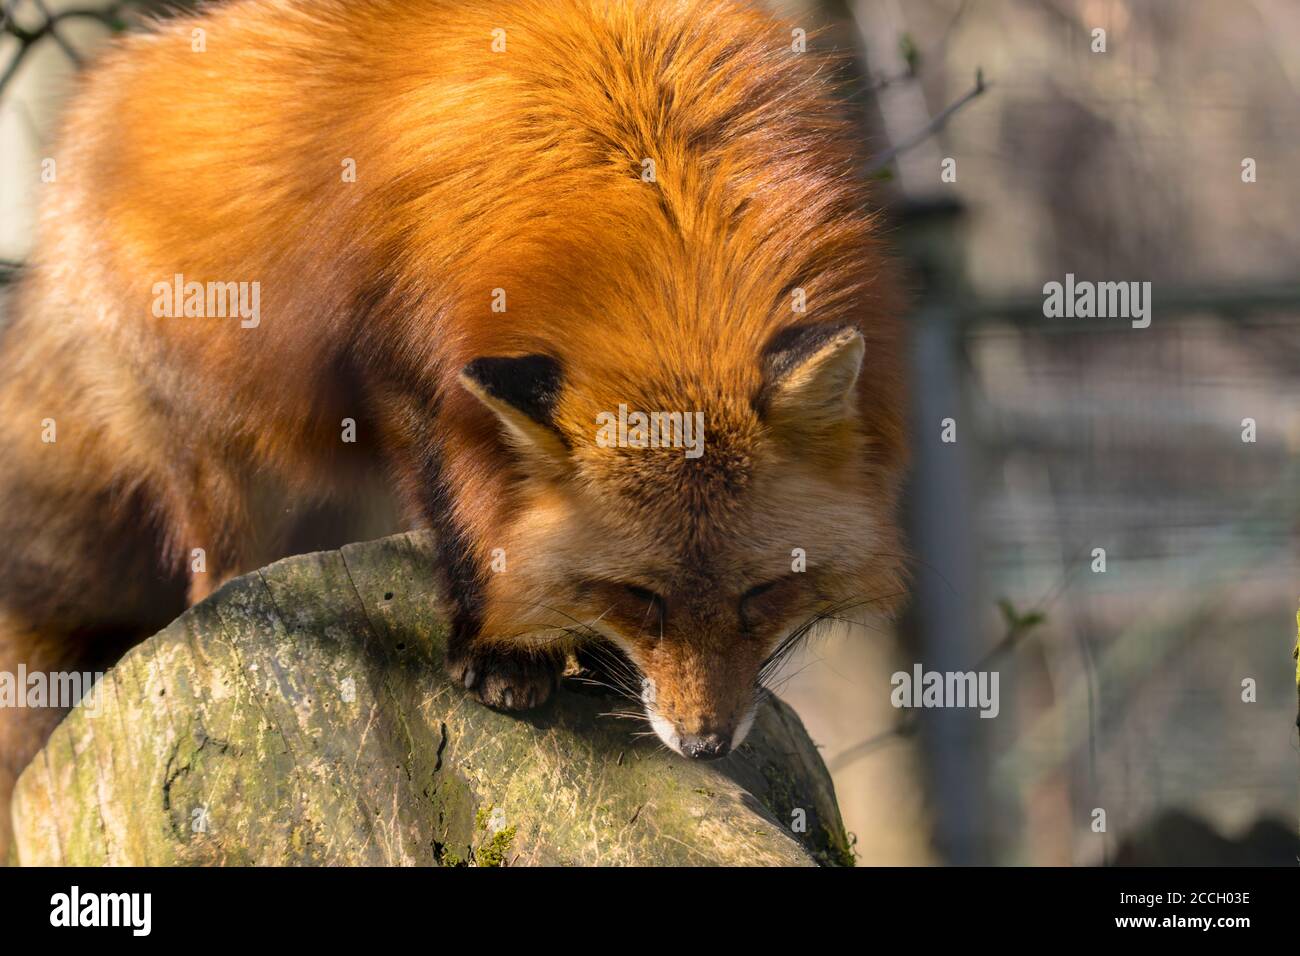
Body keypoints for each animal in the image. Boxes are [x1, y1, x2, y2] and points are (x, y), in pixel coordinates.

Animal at [0, 0, 907, 858]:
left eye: (764, 592)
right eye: (638, 596)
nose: (704, 743)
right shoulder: (407, 354)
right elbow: (466, 518)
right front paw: (501, 649)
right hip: (215, 460)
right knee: (211, 567)